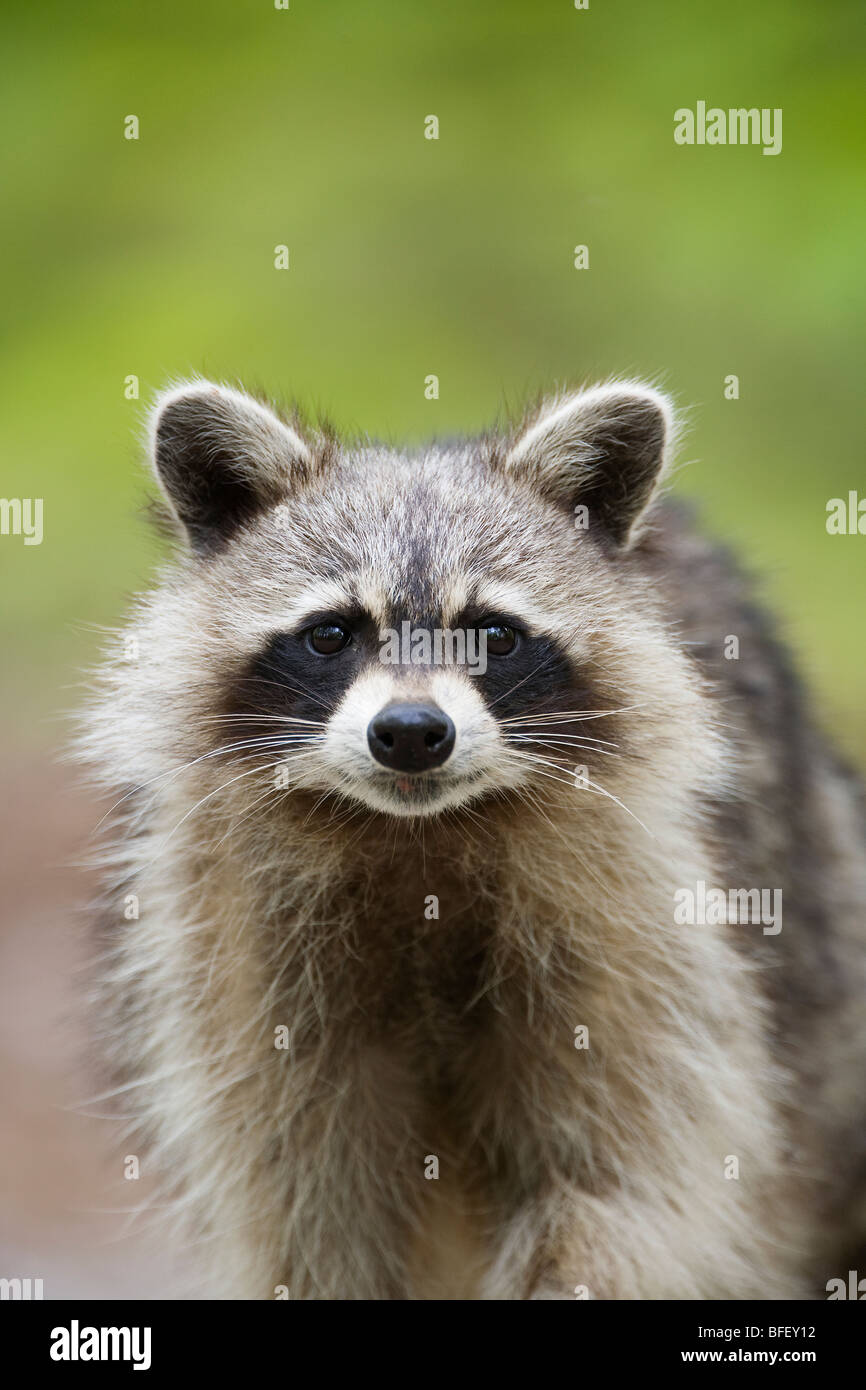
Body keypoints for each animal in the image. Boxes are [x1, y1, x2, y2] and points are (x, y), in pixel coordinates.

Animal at [80, 378, 866, 1300]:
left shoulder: (637, 948)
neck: (418, 838)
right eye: (331, 632)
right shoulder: (242, 974)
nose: (412, 732)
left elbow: (614, 1189)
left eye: (494, 633)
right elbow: (313, 1216)